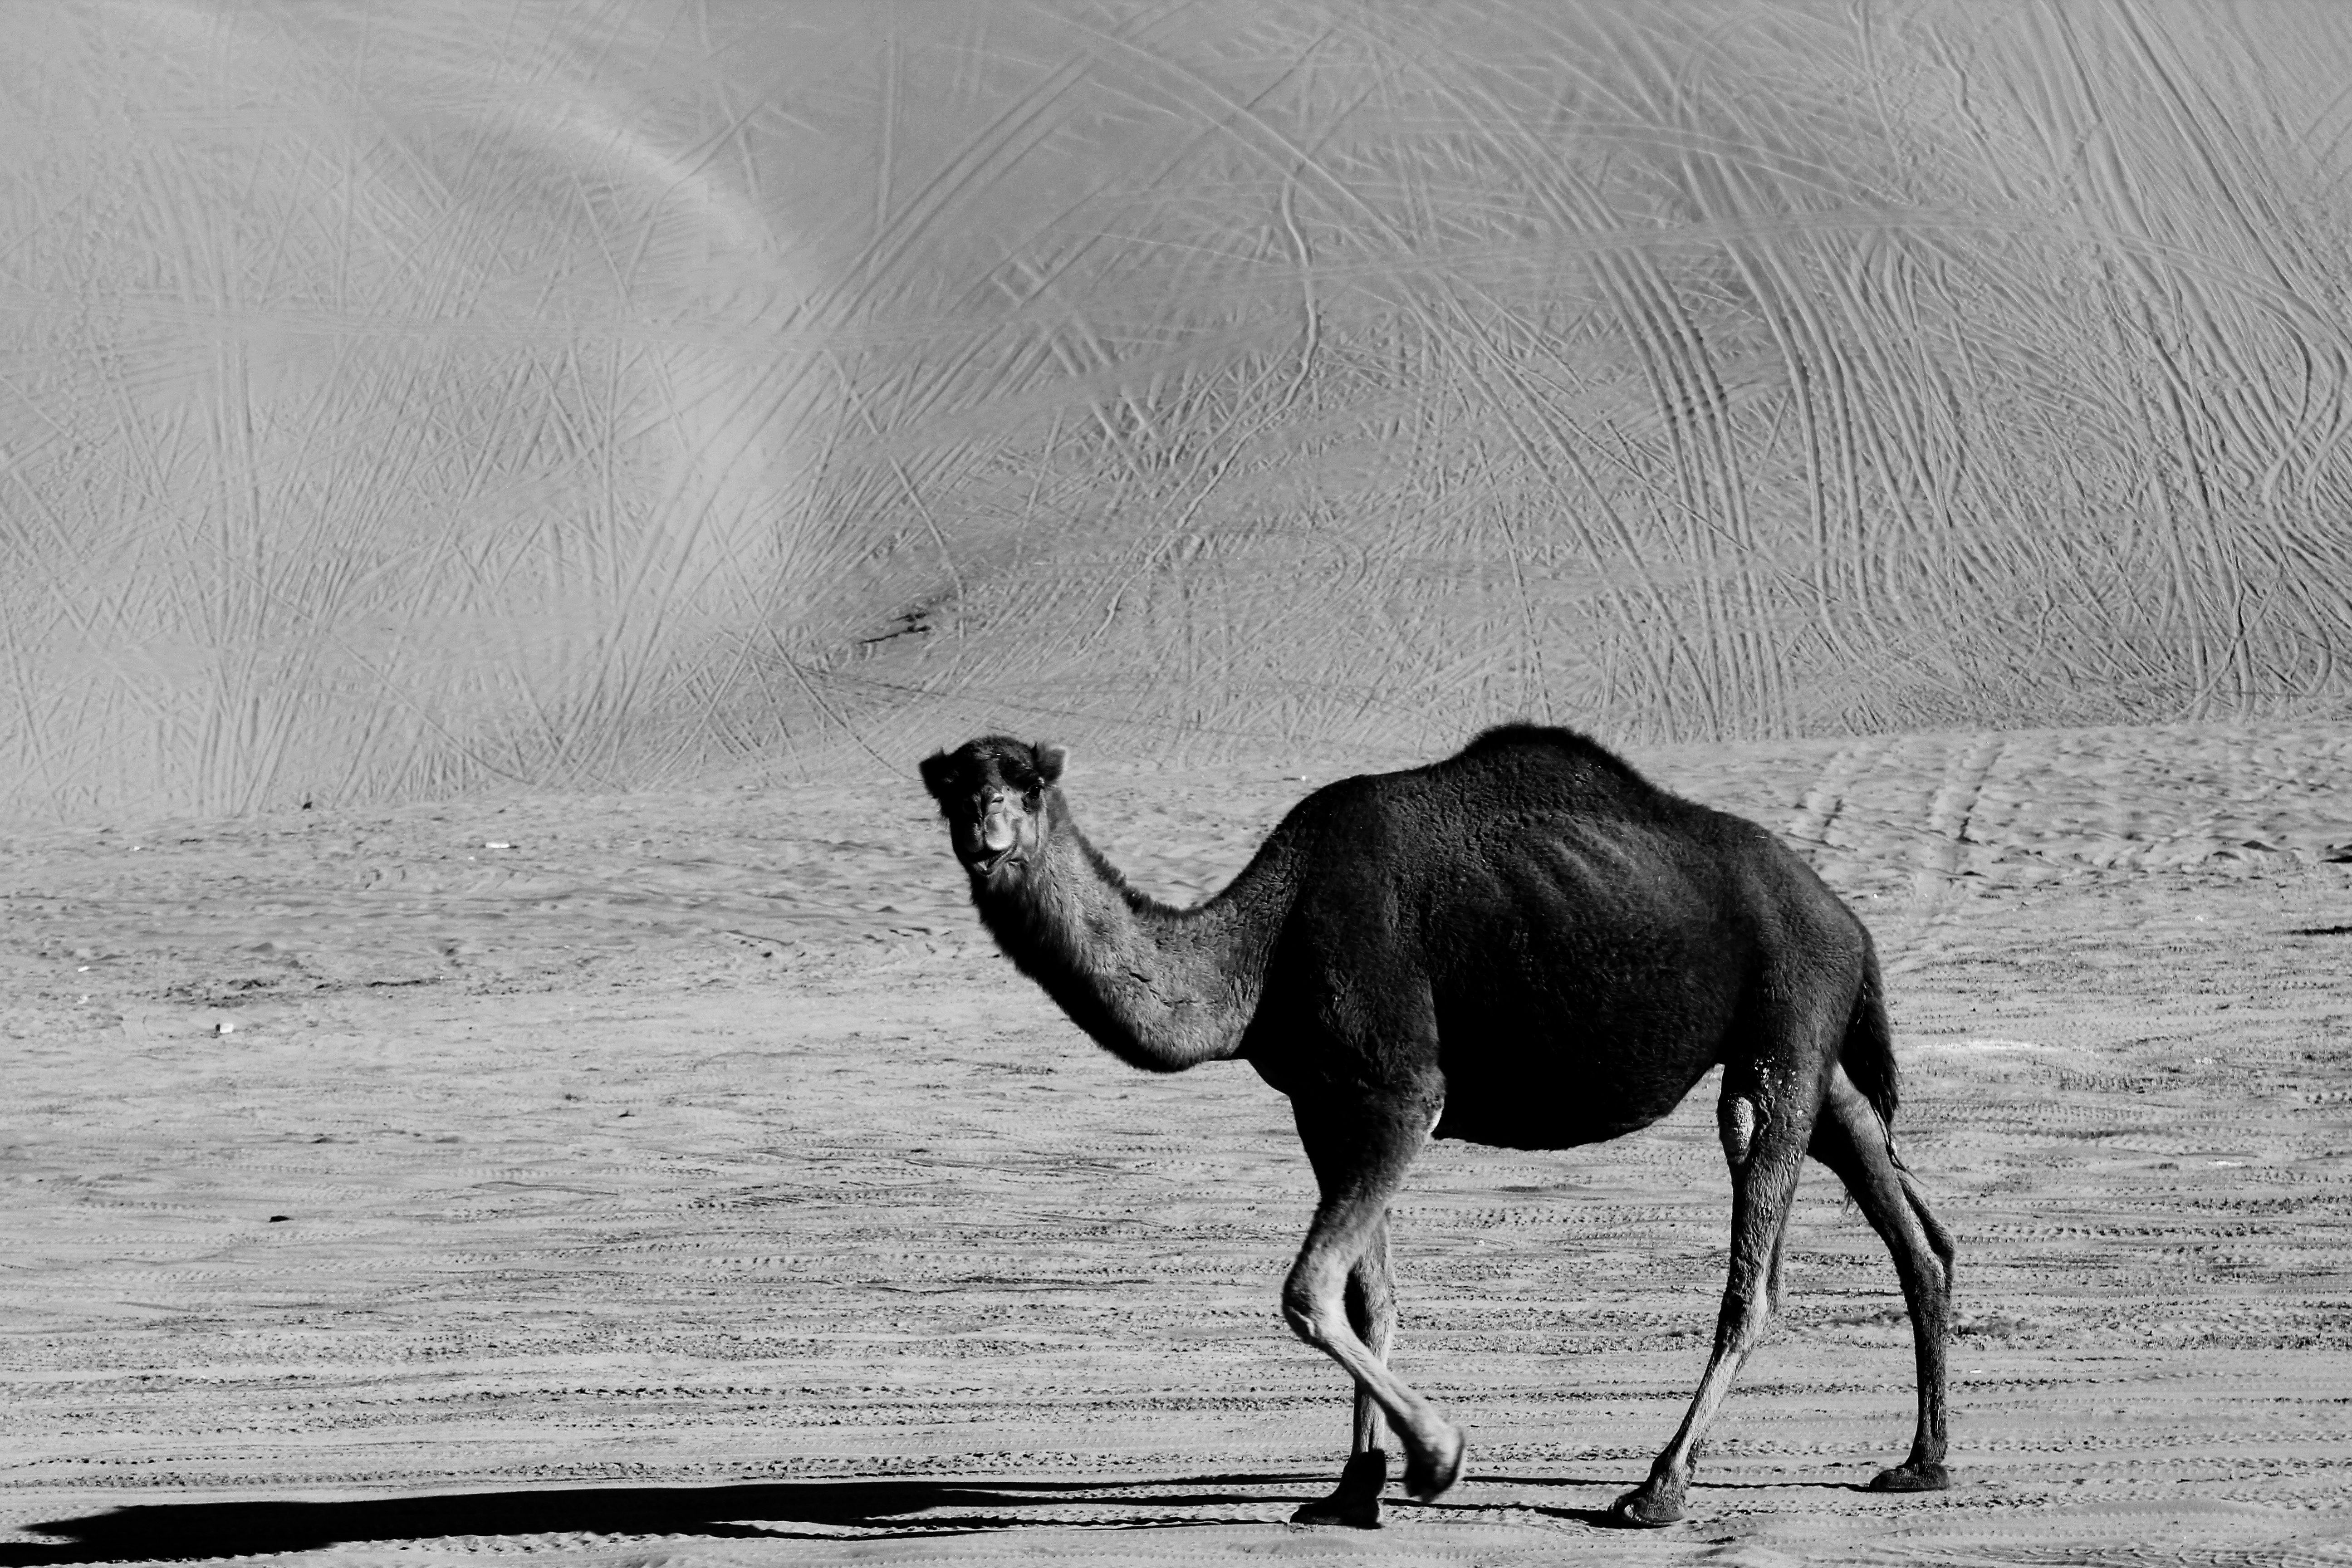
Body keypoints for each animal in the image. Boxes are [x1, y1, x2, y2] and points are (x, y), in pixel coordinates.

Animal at [919, 724, 1953, 1528]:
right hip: (1815, 1050)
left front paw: (1438, 1456)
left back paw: (1658, 1487)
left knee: (1754, 1268)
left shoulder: (1401, 1089)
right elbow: (1368, 1297)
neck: (1263, 948)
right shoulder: (1322, 1101)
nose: (986, 835)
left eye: (1026, 783)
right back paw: (1920, 1462)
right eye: (956, 787)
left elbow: (1308, 1290)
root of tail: (1847, 919)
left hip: (1787, 1013)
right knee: (1910, 1225)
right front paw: (1351, 1488)